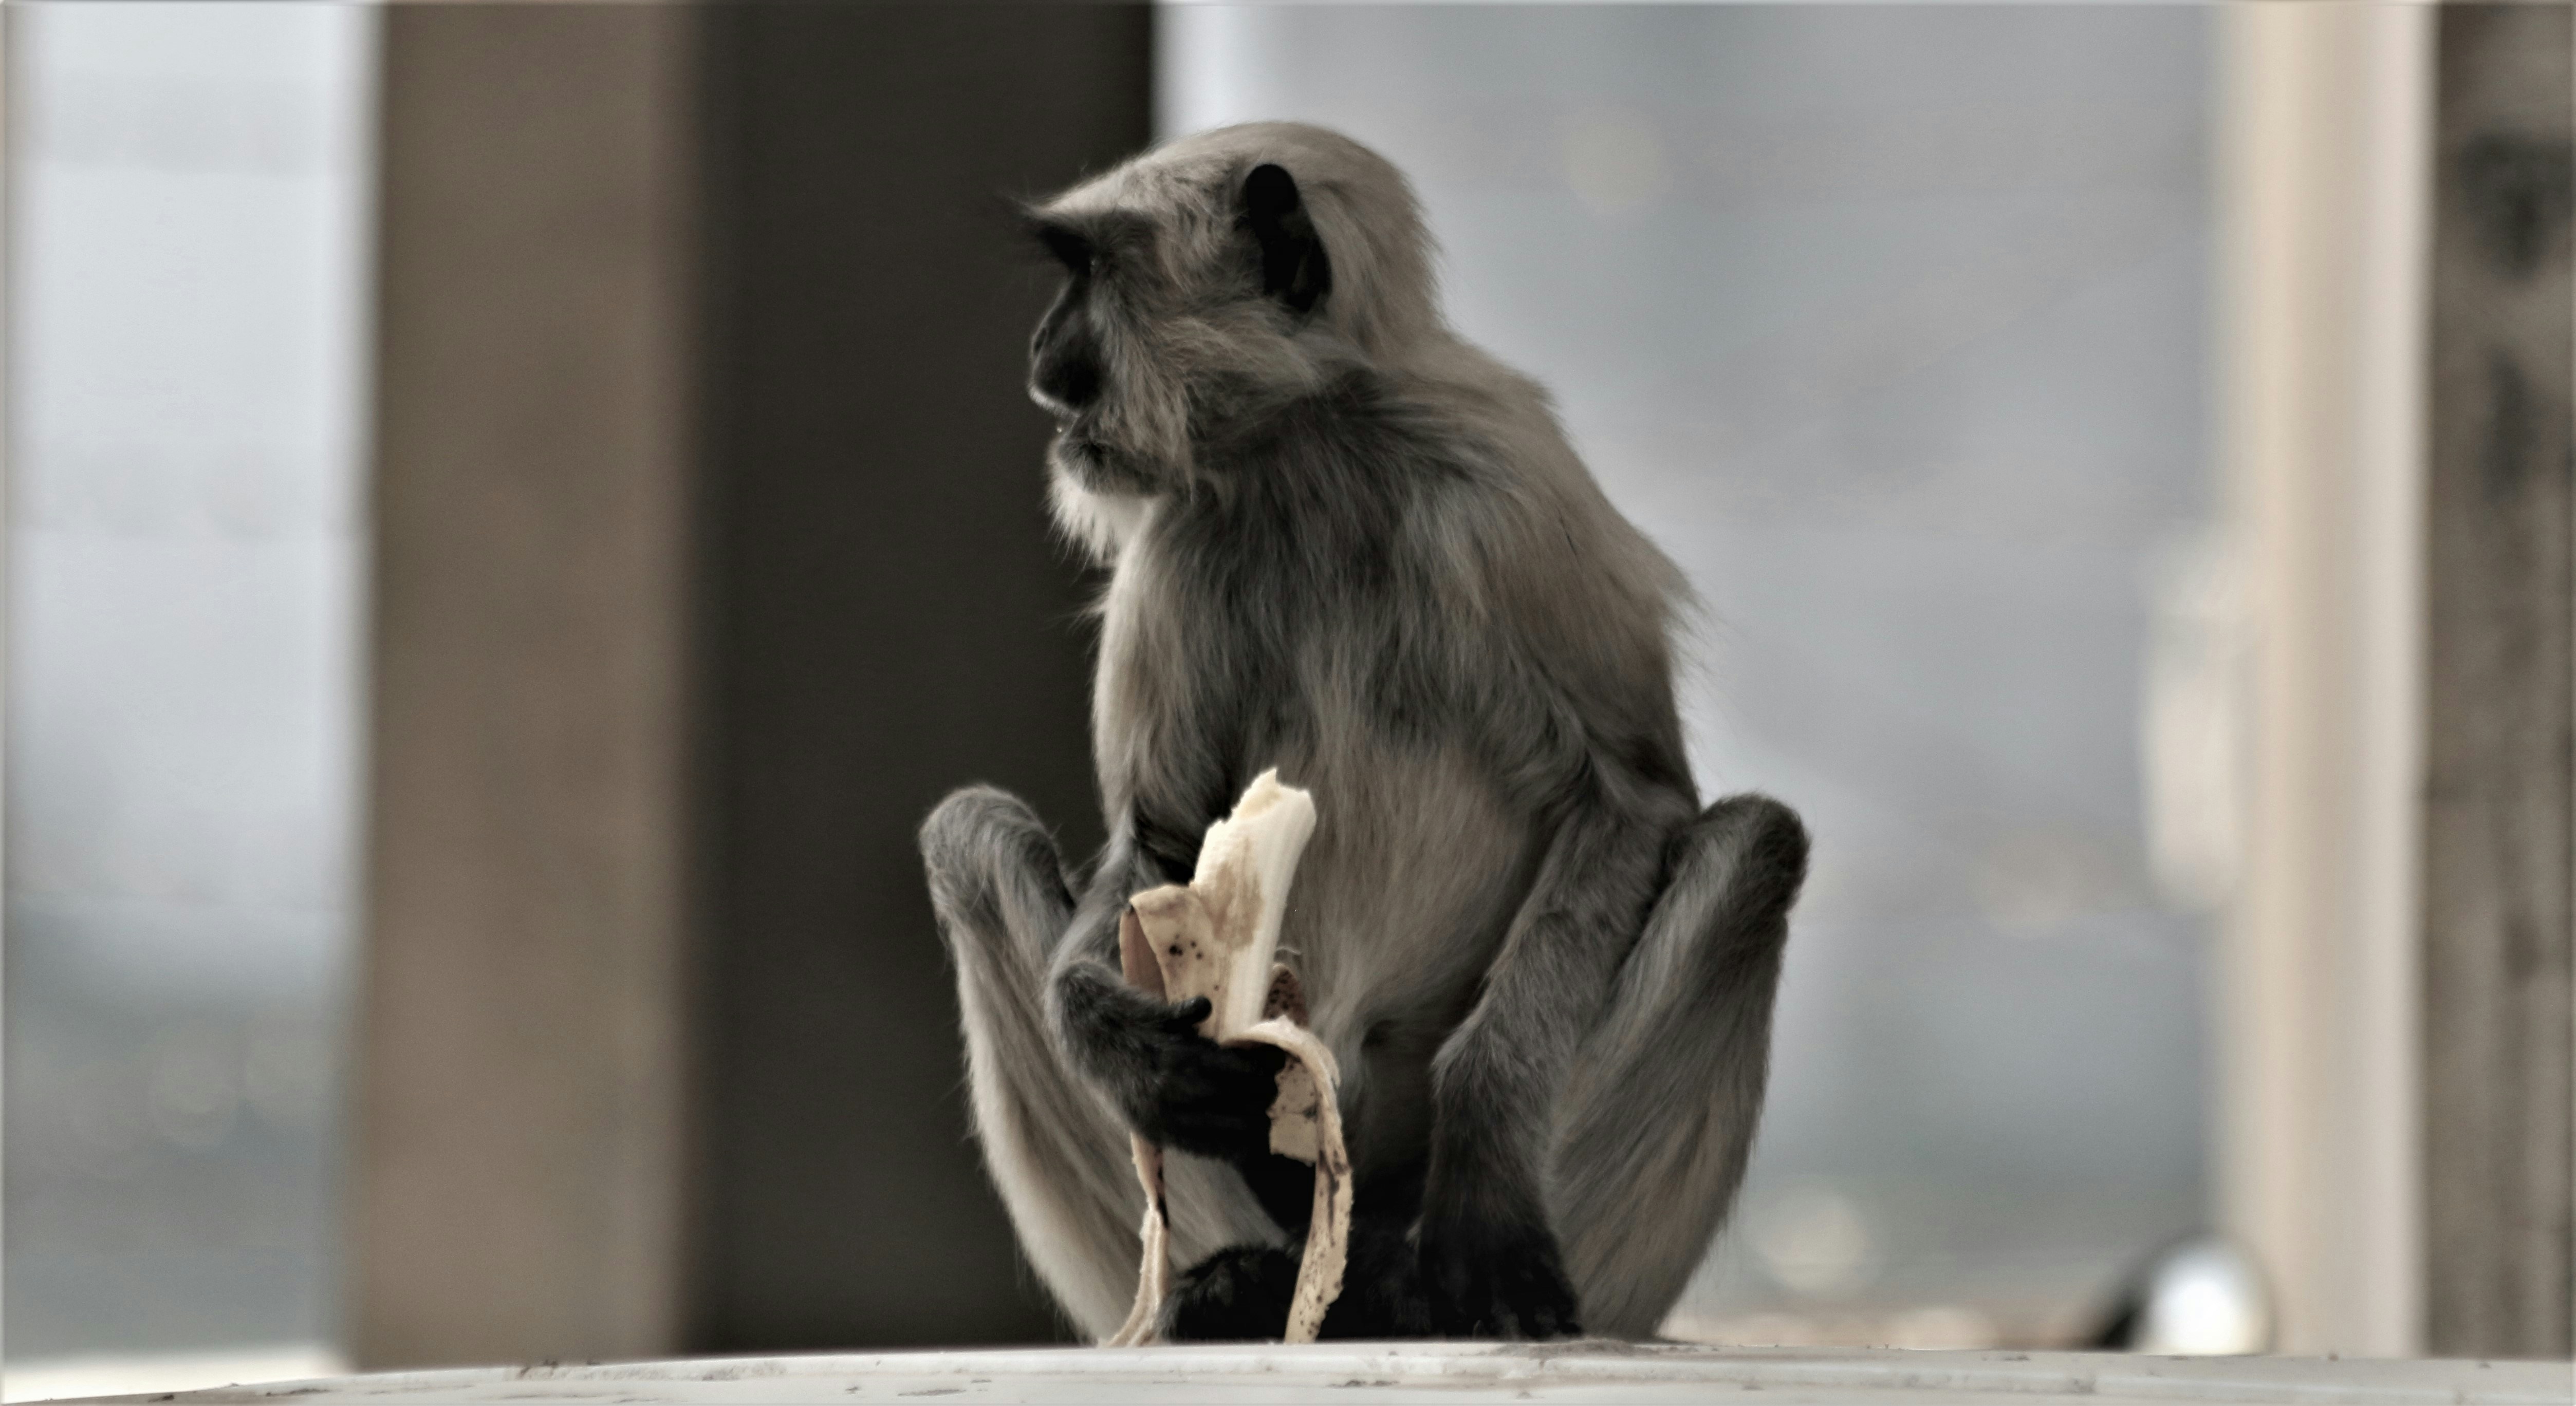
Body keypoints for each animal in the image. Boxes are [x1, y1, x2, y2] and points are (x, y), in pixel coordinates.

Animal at [919, 122, 1809, 1343]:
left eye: (1091, 275)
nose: (1042, 363)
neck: (1314, 449)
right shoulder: (1176, 544)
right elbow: (1160, 843)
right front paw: (1109, 1034)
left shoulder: (1504, 496)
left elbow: (1629, 801)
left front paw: (1483, 1170)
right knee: (966, 835)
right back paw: (1230, 1279)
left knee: (1754, 844)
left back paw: (1431, 1280)